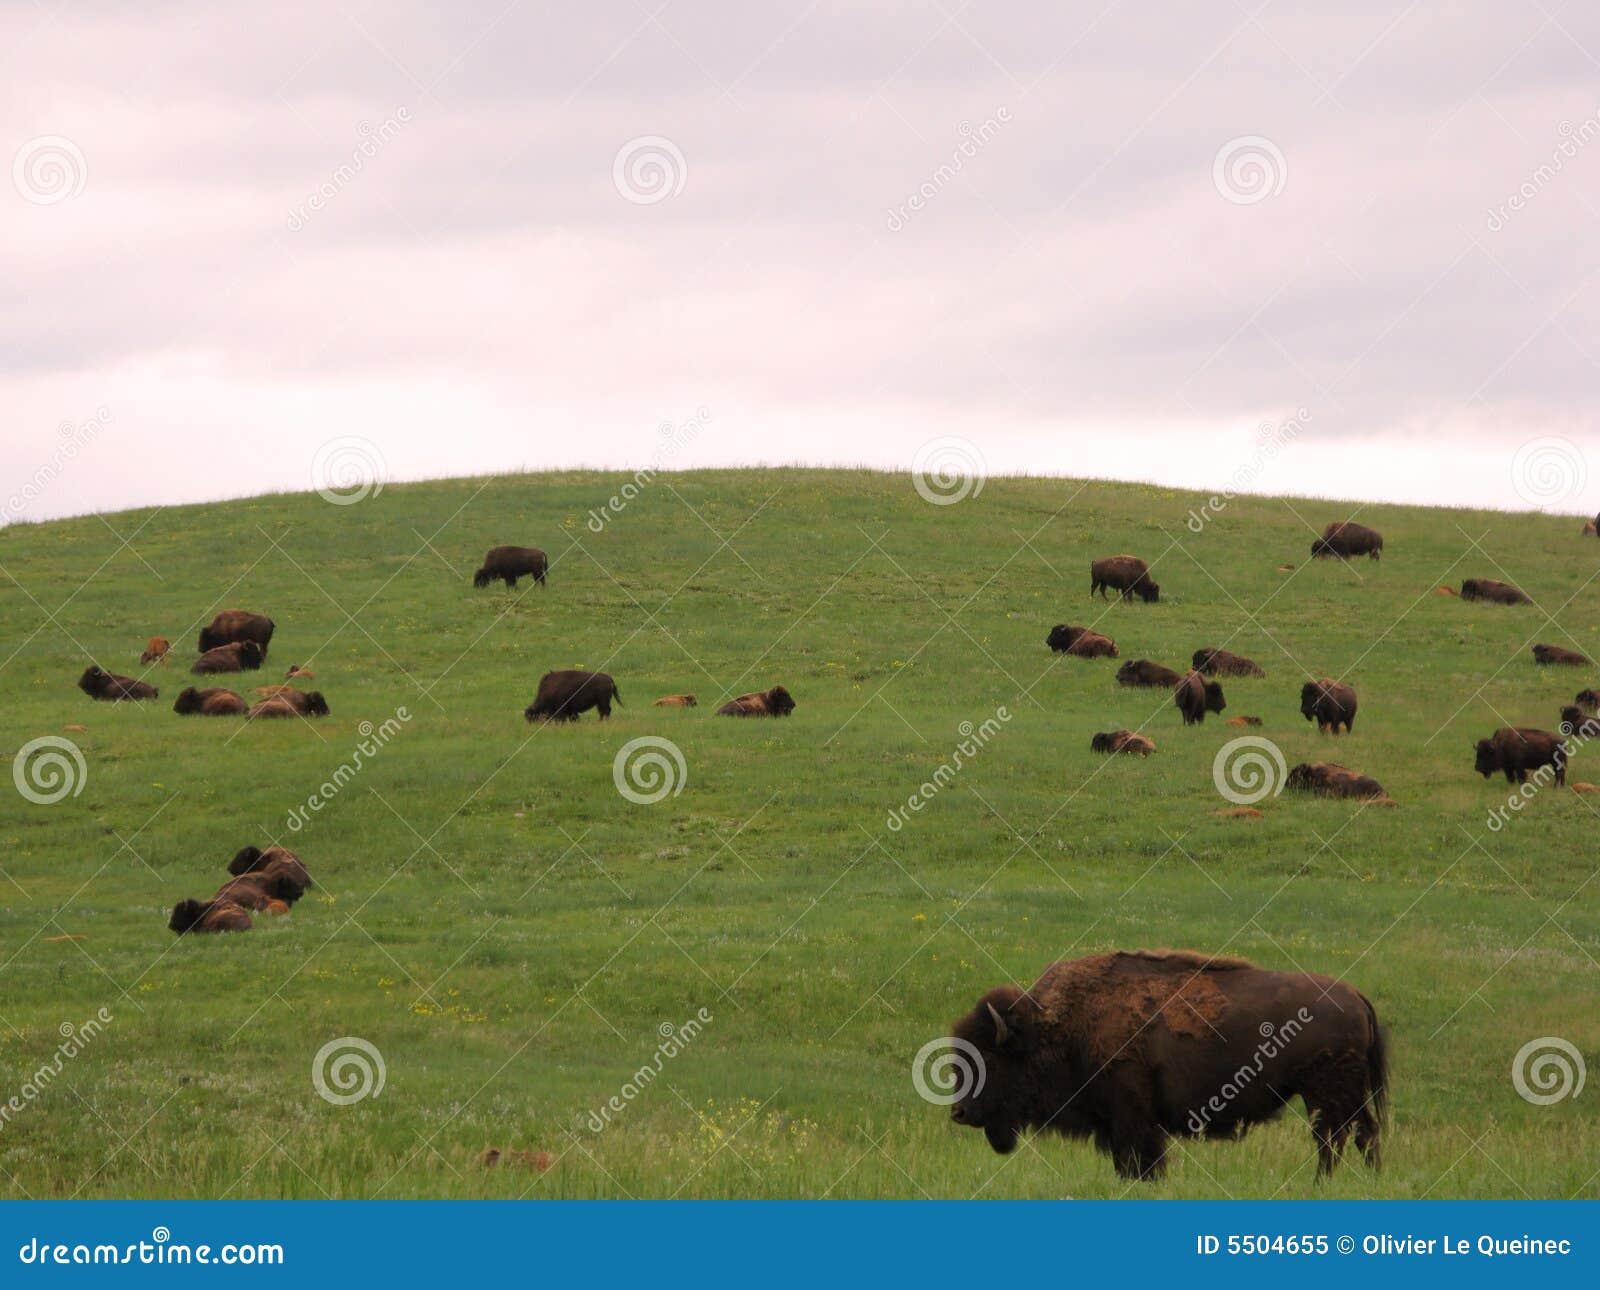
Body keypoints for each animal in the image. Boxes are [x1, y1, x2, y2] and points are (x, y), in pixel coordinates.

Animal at [946, 950, 1385, 1180]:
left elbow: (1143, 1162)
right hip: (1347, 1093)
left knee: (1331, 1139)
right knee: (1363, 1134)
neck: (1057, 1028)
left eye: (989, 1059)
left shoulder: (1133, 1120)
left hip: (1324, 1094)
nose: (959, 1113)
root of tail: (1355, 995)